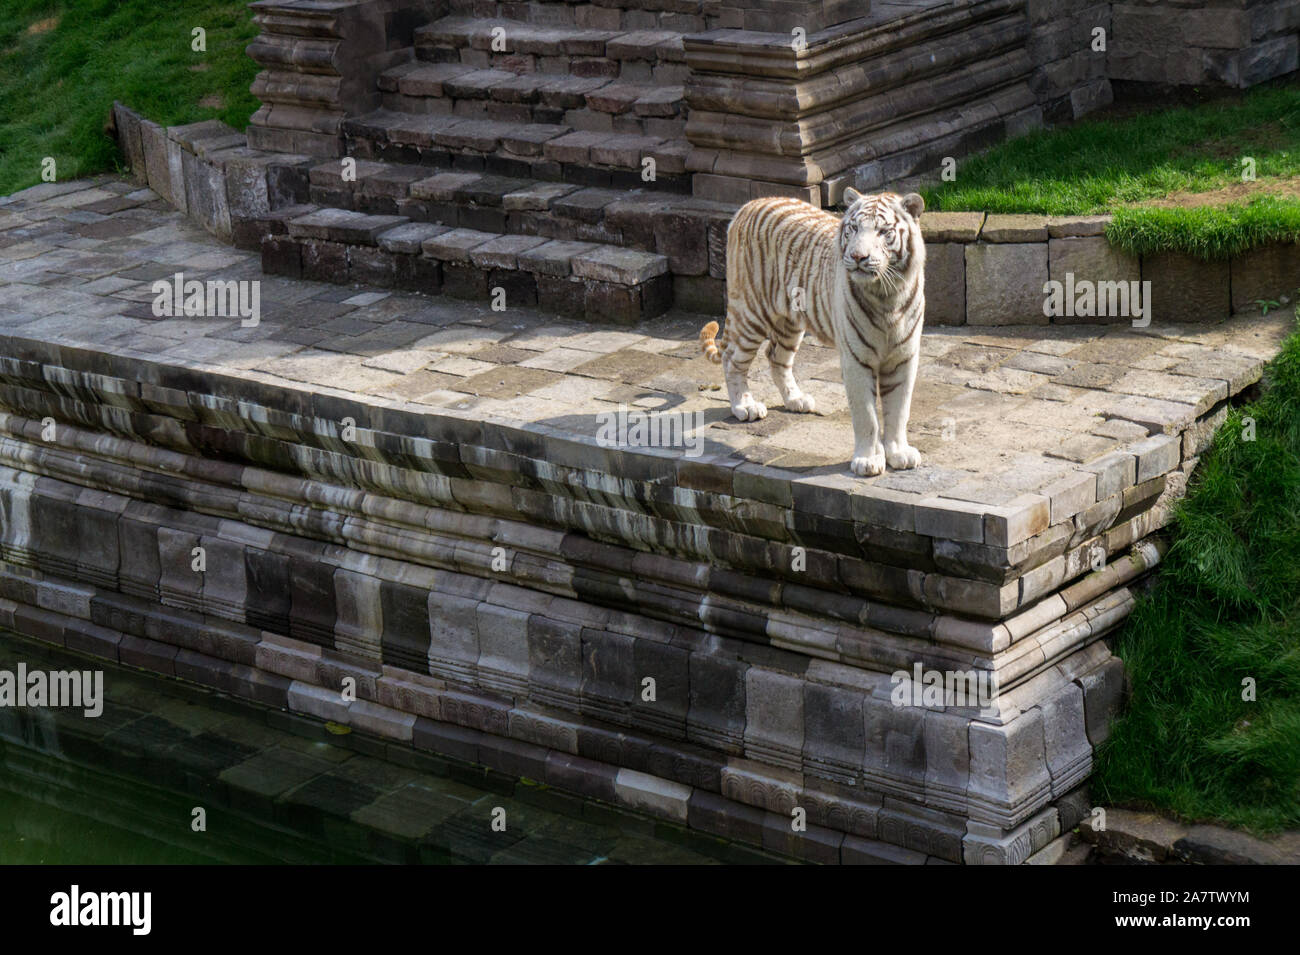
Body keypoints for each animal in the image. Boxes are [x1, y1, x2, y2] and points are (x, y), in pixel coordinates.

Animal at [699, 188, 927, 477]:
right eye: (853, 229)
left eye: (883, 231)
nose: (858, 257)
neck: (887, 295)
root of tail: (749, 204)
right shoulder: (856, 360)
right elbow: (867, 416)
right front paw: (867, 461)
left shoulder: (903, 359)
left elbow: (898, 411)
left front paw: (899, 454)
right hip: (751, 313)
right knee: (732, 360)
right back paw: (745, 406)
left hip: (789, 322)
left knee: (776, 358)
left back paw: (795, 399)